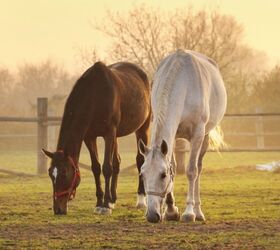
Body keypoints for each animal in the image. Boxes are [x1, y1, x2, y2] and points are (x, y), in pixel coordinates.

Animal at [42, 61, 151, 215]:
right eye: (51, 173)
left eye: (64, 173)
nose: (58, 209)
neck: (96, 95)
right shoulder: (90, 137)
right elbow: (96, 168)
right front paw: (100, 202)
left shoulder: (109, 134)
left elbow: (106, 168)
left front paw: (104, 206)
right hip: (117, 135)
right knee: (117, 162)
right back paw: (113, 199)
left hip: (142, 128)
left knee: (140, 160)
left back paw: (141, 200)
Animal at [138, 49, 228, 223]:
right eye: (142, 174)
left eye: (162, 175)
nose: (152, 215)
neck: (184, 85)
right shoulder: (171, 137)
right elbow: (172, 165)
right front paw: (171, 211)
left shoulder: (197, 134)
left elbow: (191, 171)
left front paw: (189, 213)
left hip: (204, 137)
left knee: (198, 169)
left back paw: (198, 212)